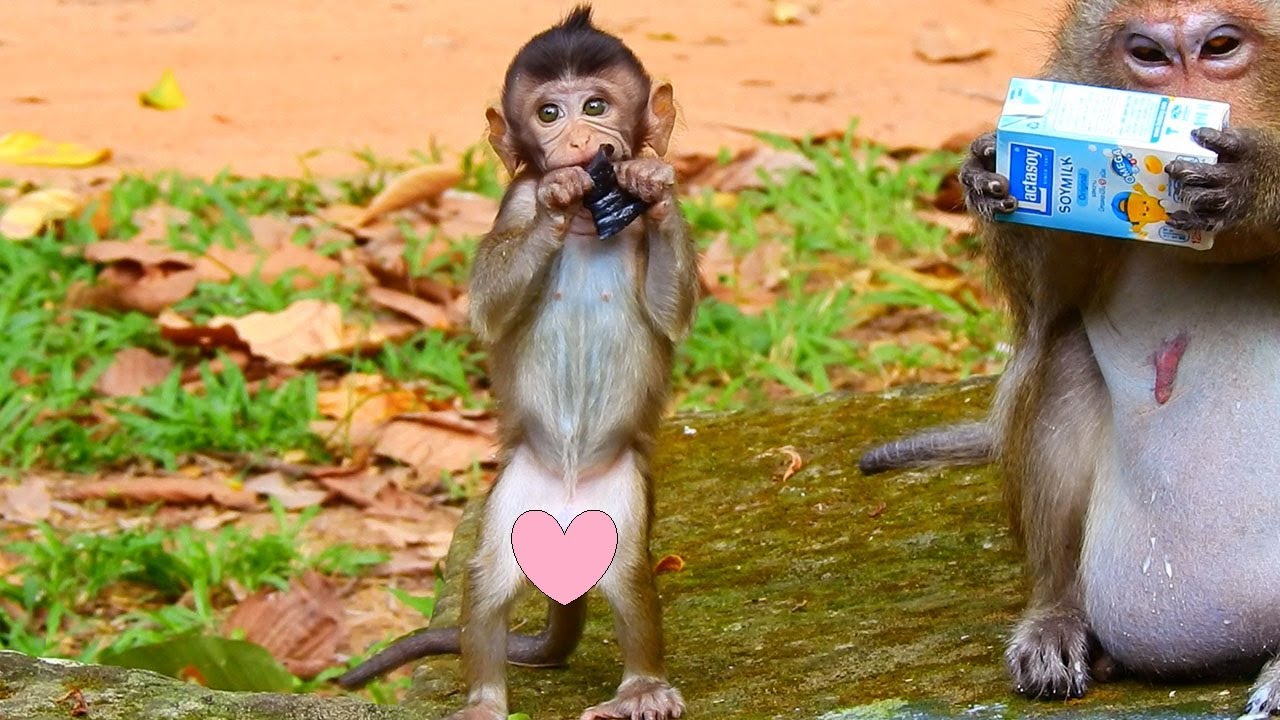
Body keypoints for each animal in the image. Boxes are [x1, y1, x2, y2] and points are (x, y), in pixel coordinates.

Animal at [340, 7, 696, 720]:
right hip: (515, 497)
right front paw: (559, 192)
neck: (590, 224)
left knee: (628, 575)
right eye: (549, 112)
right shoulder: (515, 203)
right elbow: (489, 304)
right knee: (489, 576)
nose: (580, 139)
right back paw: (483, 697)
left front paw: (652, 184)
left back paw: (641, 687)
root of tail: (566, 497)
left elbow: (671, 312)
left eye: (596, 106)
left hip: (618, 500)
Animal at [955, 1, 1280, 716]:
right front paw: (994, 172)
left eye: (1221, 46)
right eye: (1148, 55)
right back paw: (1060, 614)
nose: (1188, 101)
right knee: (1064, 358)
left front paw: (1255, 183)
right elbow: (1050, 307)